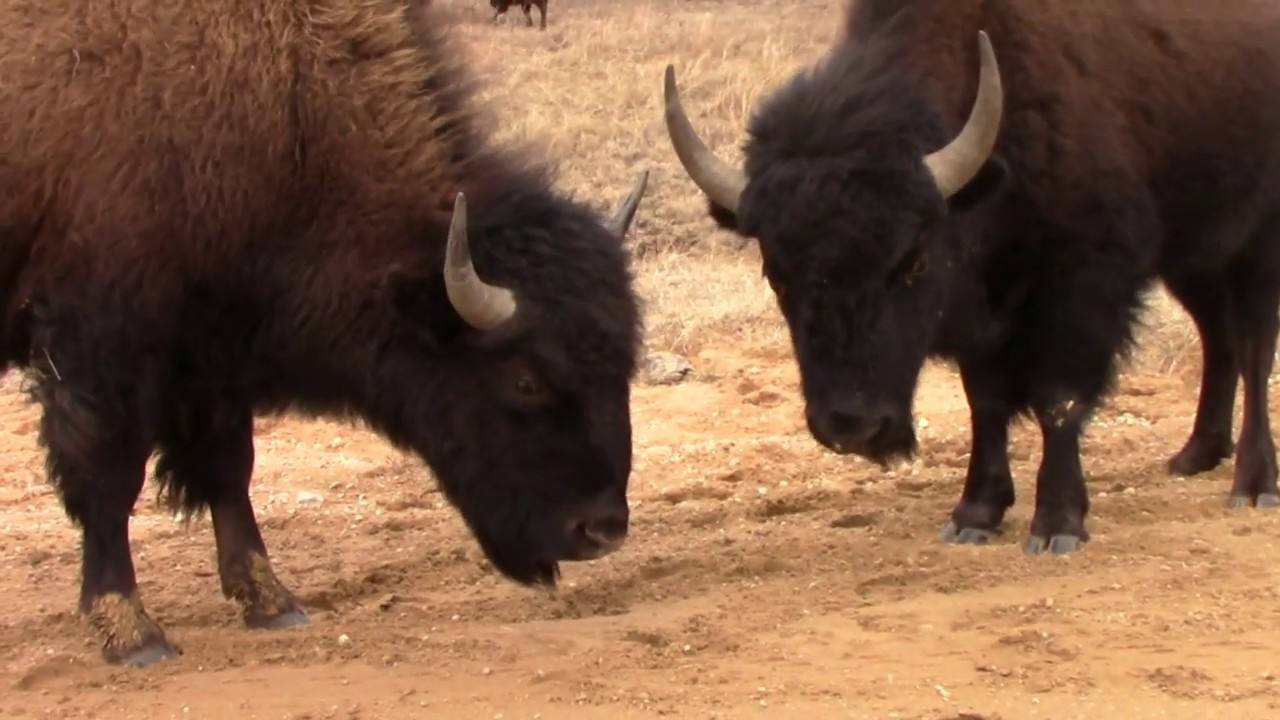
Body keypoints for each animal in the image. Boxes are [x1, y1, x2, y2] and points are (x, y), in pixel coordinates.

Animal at [0, 0, 646, 666]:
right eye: (525, 379)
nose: (601, 530)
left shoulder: (211, 355)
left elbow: (229, 466)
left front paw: (272, 602)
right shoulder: (100, 349)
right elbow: (108, 477)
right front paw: (132, 631)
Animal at [662, 0, 1280, 553]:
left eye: (914, 261)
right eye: (777, 274)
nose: (851, 425)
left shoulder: (1081, 289)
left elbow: (1060, 400)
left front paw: (1057, 525)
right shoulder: (982, 318)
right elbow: (984, 403)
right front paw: (975, 515)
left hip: (1255, 246)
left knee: (1252, 347)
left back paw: (1252, 484)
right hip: (1196, 256)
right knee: (1219, 339)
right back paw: (1196, 454)